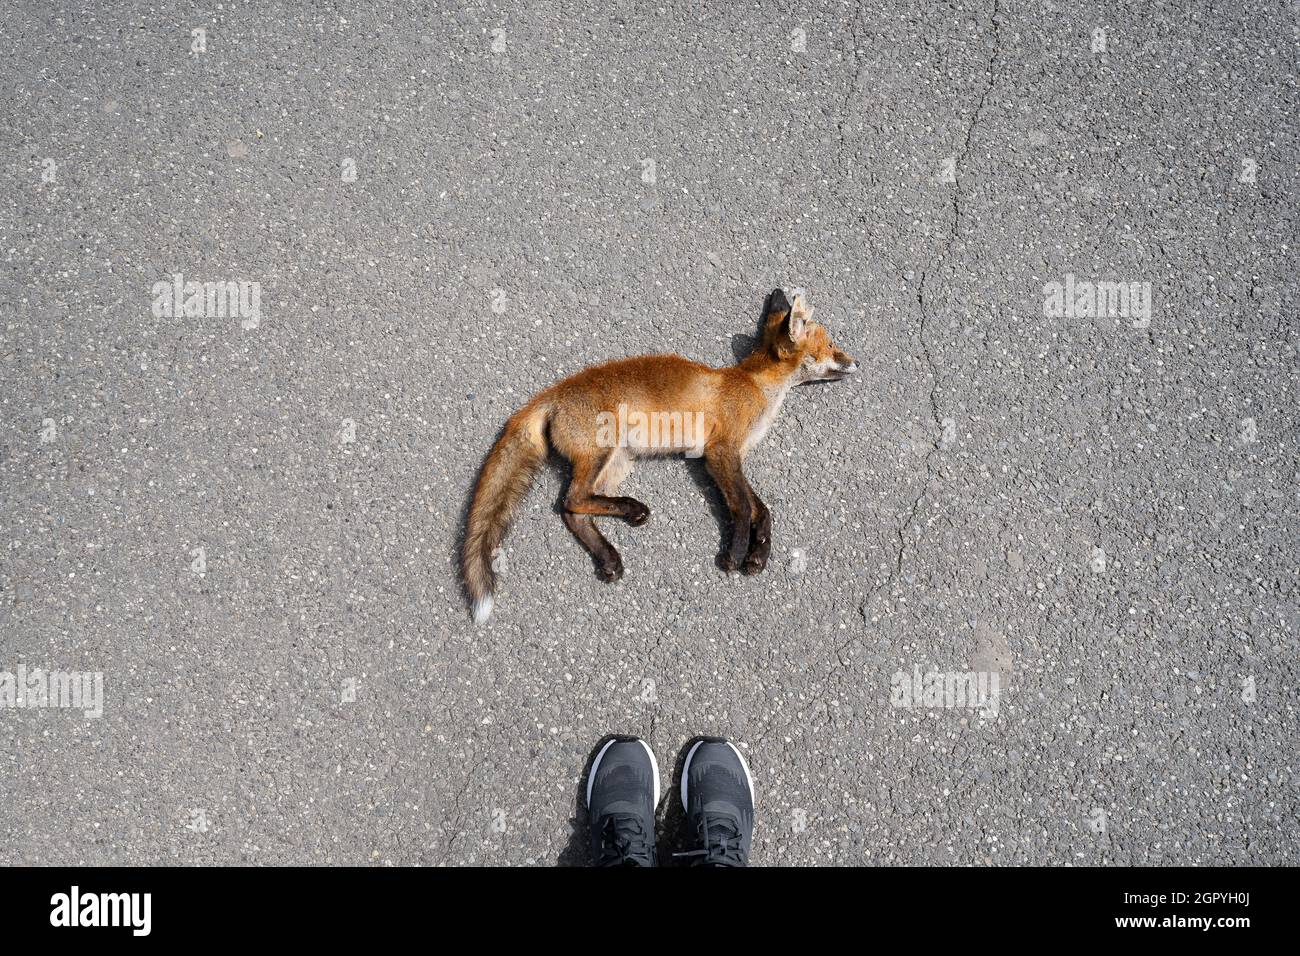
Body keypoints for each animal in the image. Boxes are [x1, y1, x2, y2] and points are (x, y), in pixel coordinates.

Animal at [461, 288, 858, 622]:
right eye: (832, 344)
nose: (857, 362)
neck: (755, 386)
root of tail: (554, 393)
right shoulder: (718, 452)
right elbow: (743, 507)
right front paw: (735, 553)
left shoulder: (735, 456)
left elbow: (763, 509)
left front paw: (759, 553)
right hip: (604, 452)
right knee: (572, 500)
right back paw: (631, 510)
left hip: (618, 463)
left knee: (573, 509)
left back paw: (608, 555)